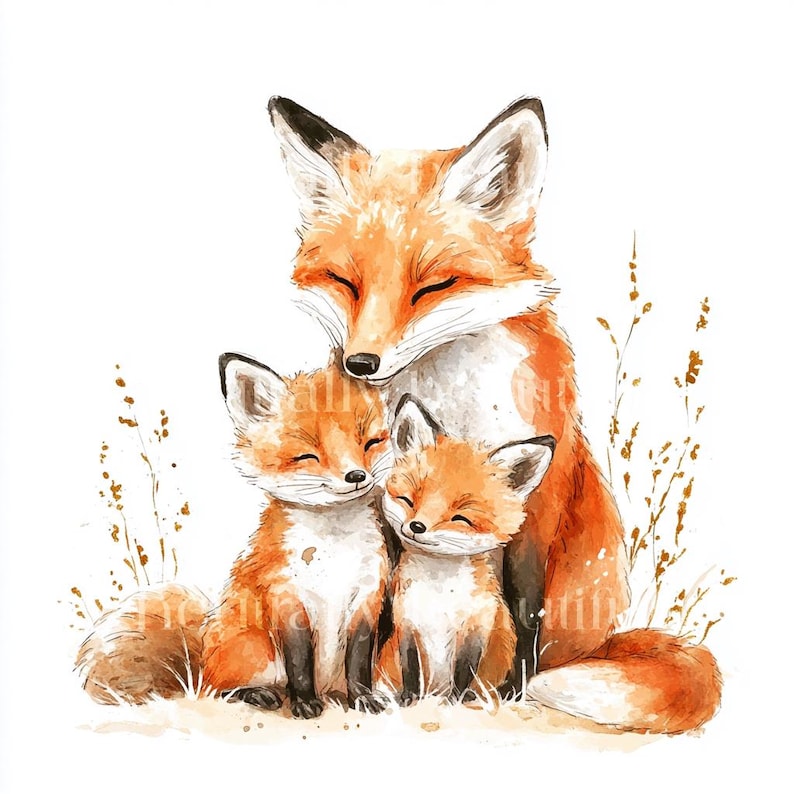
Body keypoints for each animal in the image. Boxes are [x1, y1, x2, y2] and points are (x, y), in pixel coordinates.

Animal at [377, 396, 554, 704]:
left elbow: (464, 672)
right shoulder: (407, 628)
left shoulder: (475, 631)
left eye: (461, 518)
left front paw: (453, 702)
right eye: (408, 500)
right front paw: (410, 700)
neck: (438, 594)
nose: (416, 526)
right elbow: (411, 670)